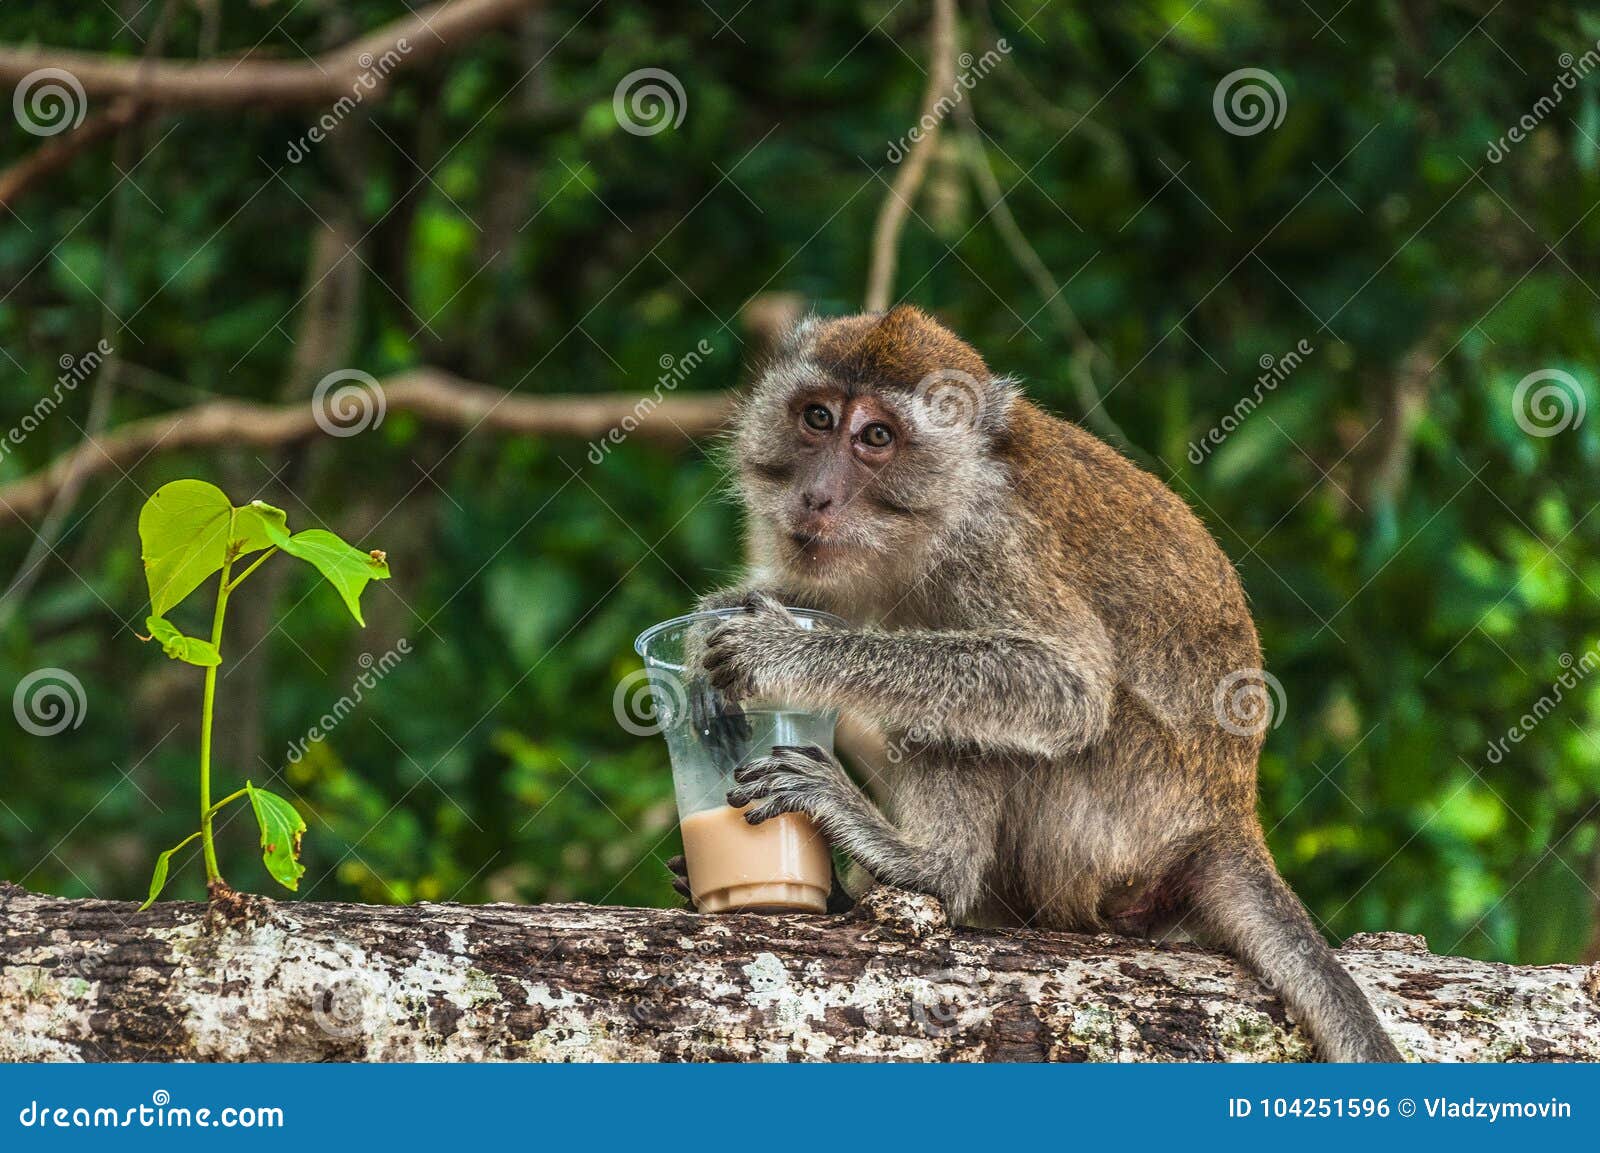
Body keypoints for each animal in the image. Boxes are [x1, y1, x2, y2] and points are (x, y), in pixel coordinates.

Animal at [668, 304, 1402, 1063]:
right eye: (817, 417)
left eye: (876, 437)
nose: (816, 495)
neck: (938, 510)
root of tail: (1226, 817)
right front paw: (705, 635)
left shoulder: (992, 542)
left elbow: (1064, 687)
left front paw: (781, 650)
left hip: (1116, 815)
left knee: (970, 718)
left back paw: (926, 865)